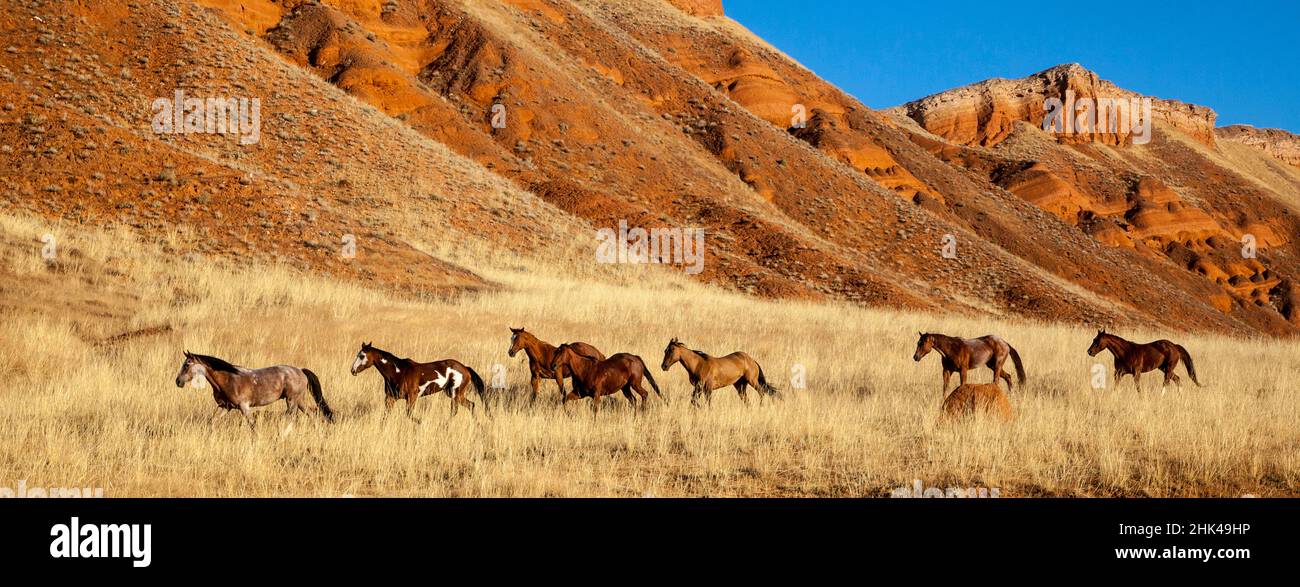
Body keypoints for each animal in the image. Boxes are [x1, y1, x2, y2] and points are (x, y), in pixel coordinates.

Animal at [174, 351, 333, 432]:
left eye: (187, 365)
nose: (178, 381)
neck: (228, 380)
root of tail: (300, 371)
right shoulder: (225, 406)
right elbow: (212, 422)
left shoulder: (244, 407)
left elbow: (252, 425)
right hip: (299, 401)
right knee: (311, 415)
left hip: (292, 401)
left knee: (290, 417)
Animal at [350, 342, 488, 419]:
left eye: (361, 356)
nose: (352, 370)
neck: (398, 372)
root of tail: (465, 368)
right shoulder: (390, 398)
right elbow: (385, 416)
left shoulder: (412, 396)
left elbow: (409, 415)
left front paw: (421, 423)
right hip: (454, 394)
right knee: (471, 405)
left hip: (455, 394)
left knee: (455, 411)